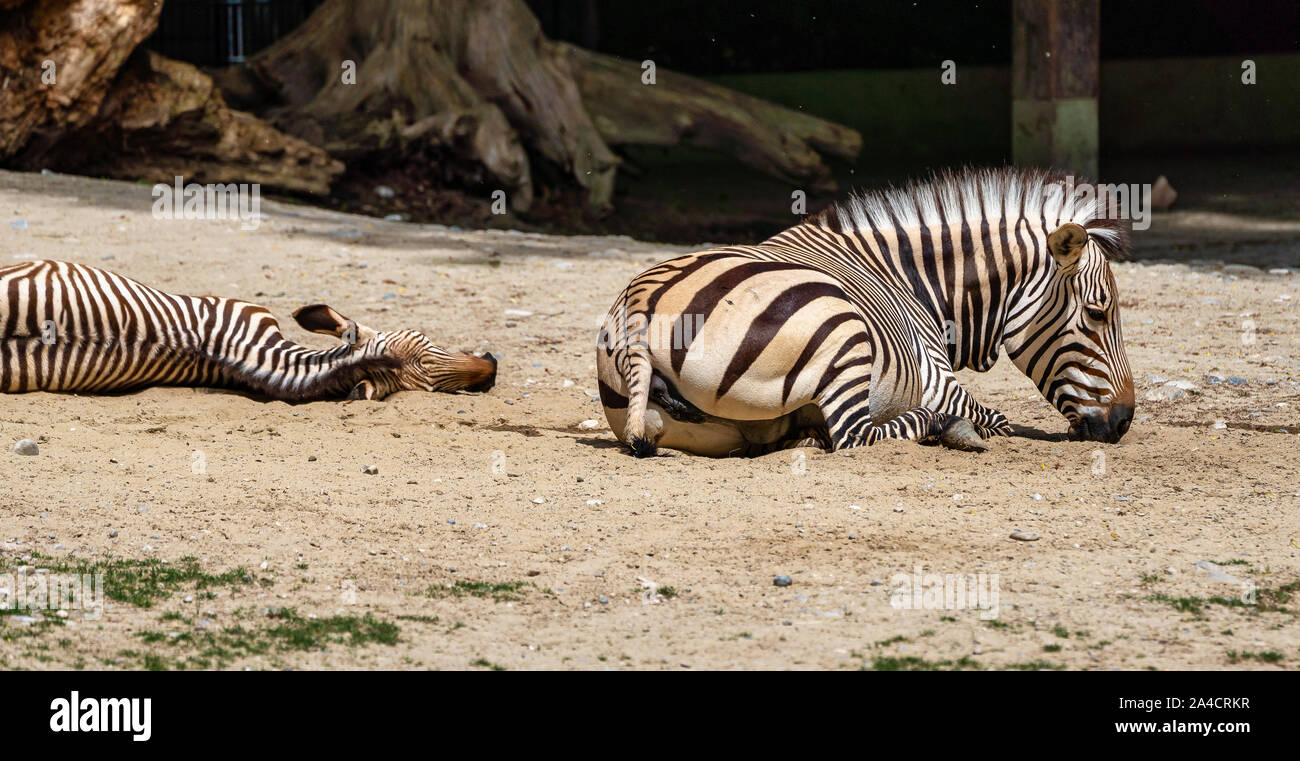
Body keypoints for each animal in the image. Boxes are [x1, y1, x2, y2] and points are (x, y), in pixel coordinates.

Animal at [597, 167, 1135, 457]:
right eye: (1098, 313)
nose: (1125, 422)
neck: (912, 280)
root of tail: (640, 303)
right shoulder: (937, 379)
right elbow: (998, 419)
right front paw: (969, 427)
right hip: (844, 331)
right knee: (855, 435)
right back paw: (945, 429)